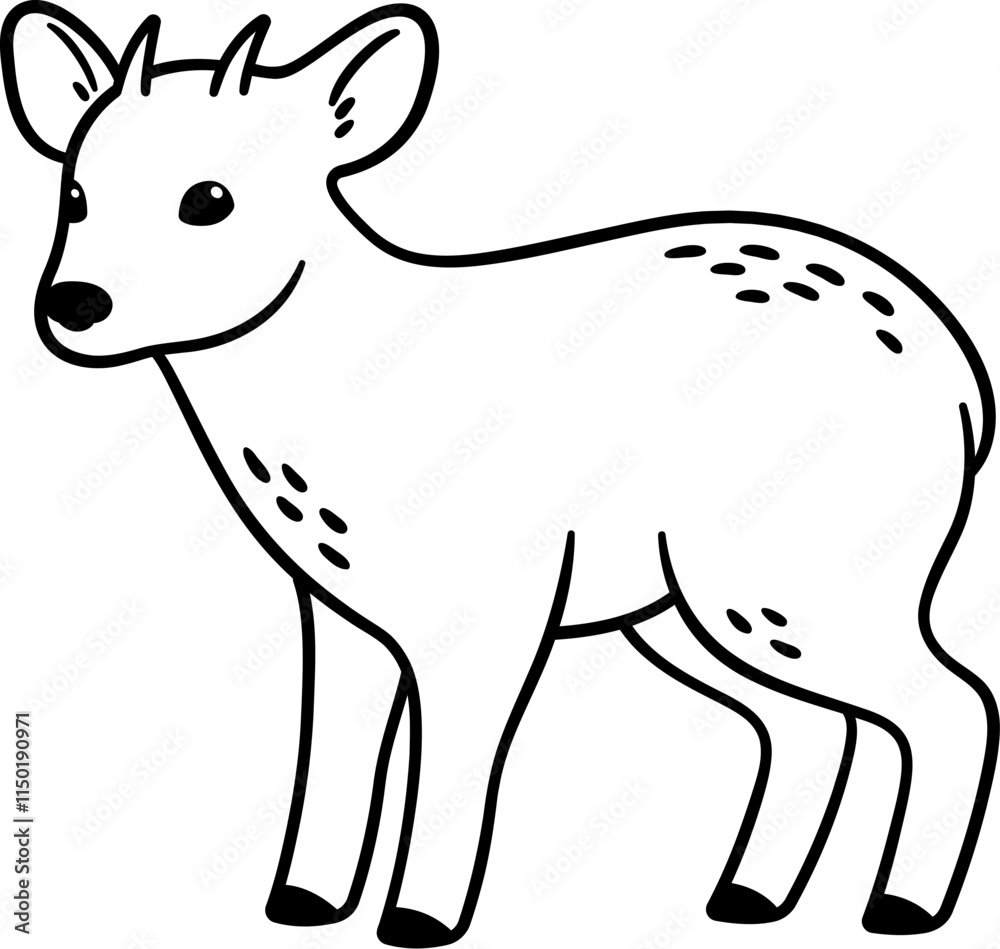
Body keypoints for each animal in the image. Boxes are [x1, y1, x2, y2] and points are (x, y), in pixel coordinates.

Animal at [2, 2, 997, 945]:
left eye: (209, 197)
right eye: (75, 193)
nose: (72, 305)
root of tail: (966, 386)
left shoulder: (490, 603)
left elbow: (457, 761)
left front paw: (418, 918)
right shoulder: (338, 605)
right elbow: (333, 753)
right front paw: (302, 902)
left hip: (785, 576)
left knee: (948, 701)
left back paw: (900, 907)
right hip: (688, 602)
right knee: (808, 723)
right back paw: (747, 897)